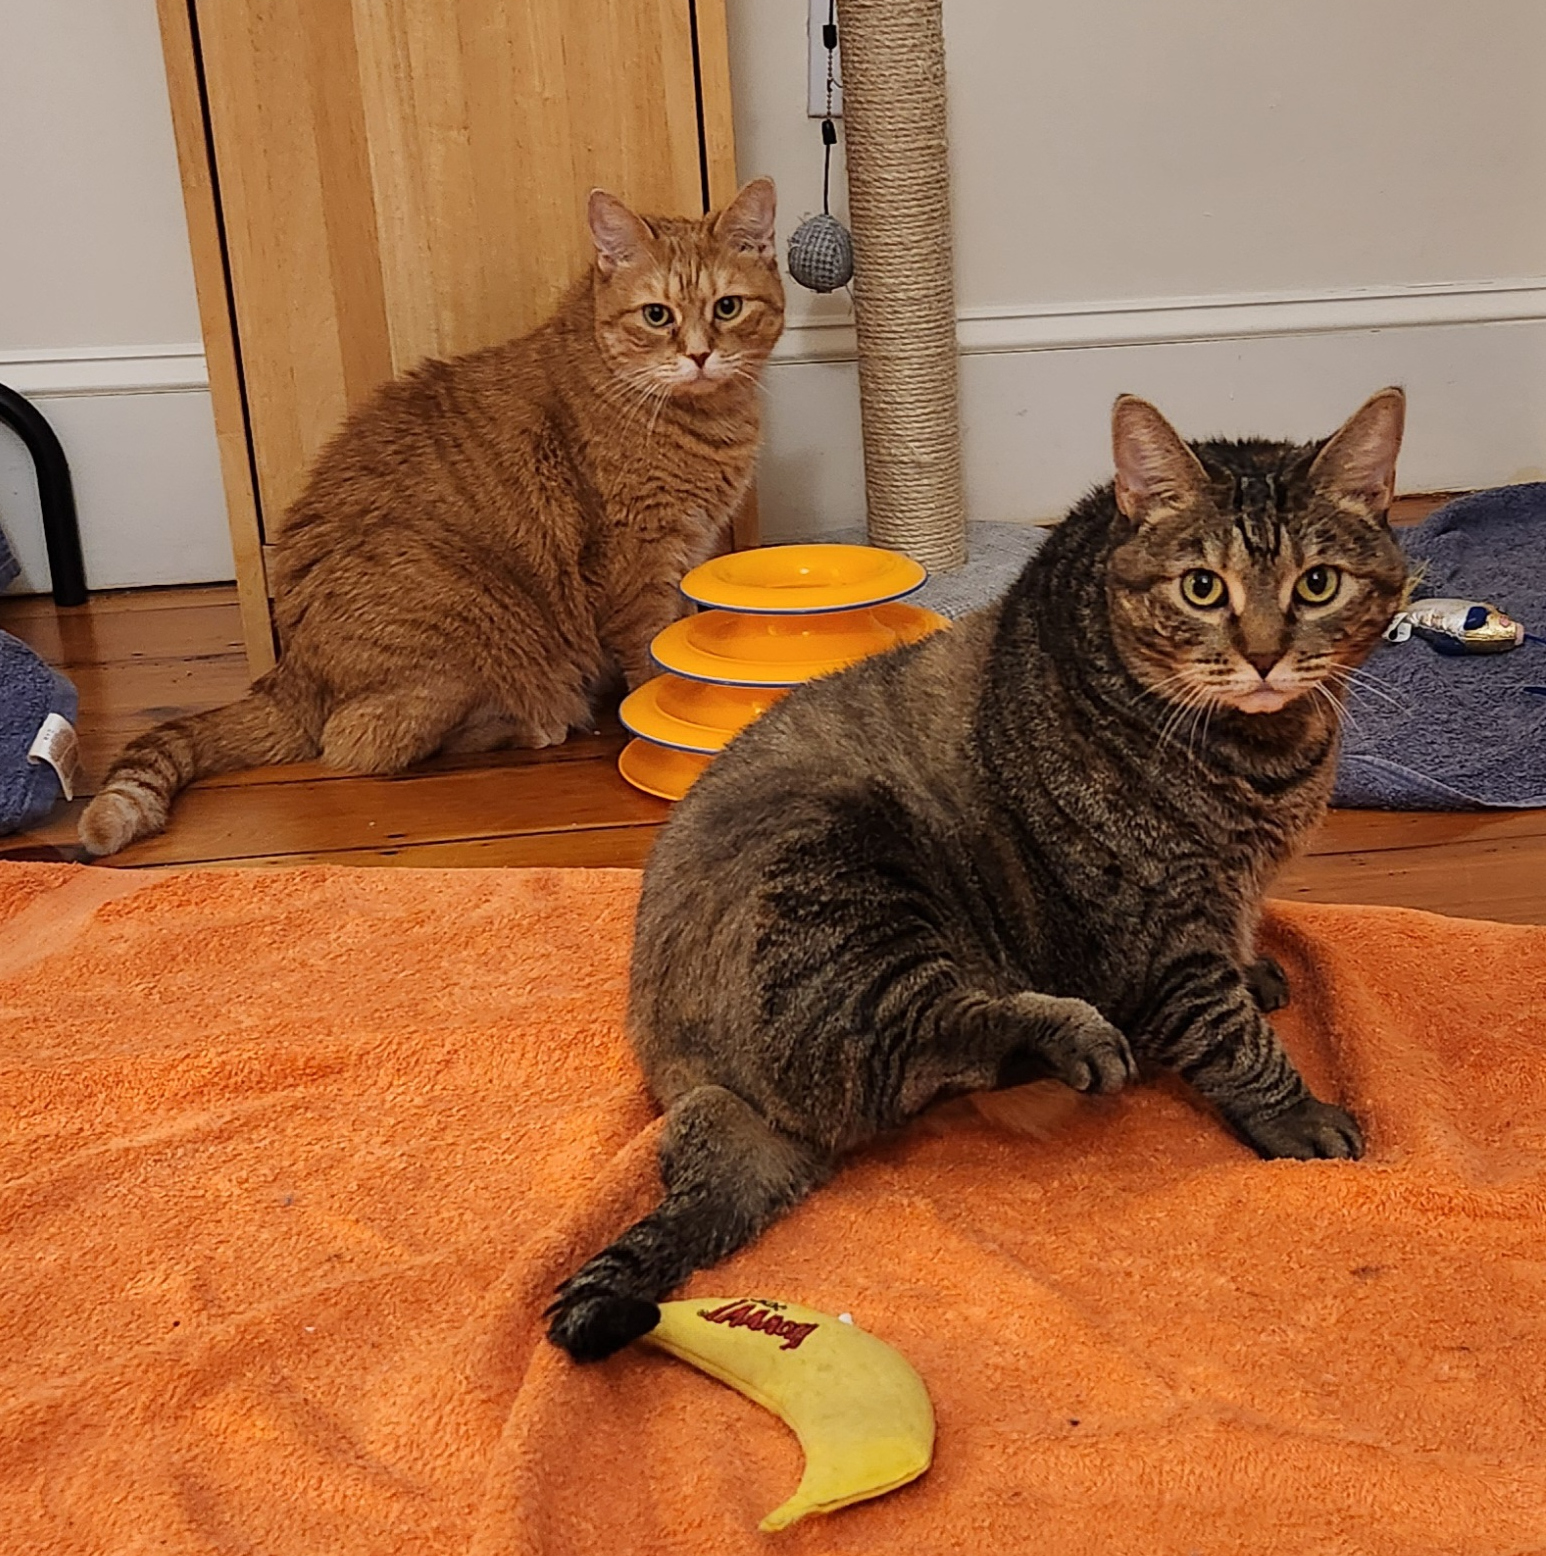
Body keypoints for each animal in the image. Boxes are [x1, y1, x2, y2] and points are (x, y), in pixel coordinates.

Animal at [79, 179, 785, 857]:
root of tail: (288, 676)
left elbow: (684, 633)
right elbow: (654, 656)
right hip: (476, 615)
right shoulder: (637, 563)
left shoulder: (685, 551)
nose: (699, 355)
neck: (699, 416)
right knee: (360, 745)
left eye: (727, 308)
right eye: (657, 315)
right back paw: (538, 722)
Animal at [547, 387, 1410, 1363]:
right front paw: (1295, 1111)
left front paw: (1256, 967)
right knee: (930, 1036)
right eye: (1202, 588)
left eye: (1318, 584)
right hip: (847, 882)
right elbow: (1230, 1034)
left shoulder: (1225, 893)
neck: (1267, 760)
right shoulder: (1153, 932)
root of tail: (692, 1080)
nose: (1265, 656)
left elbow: (1240, 946)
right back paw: (1076, 1033)